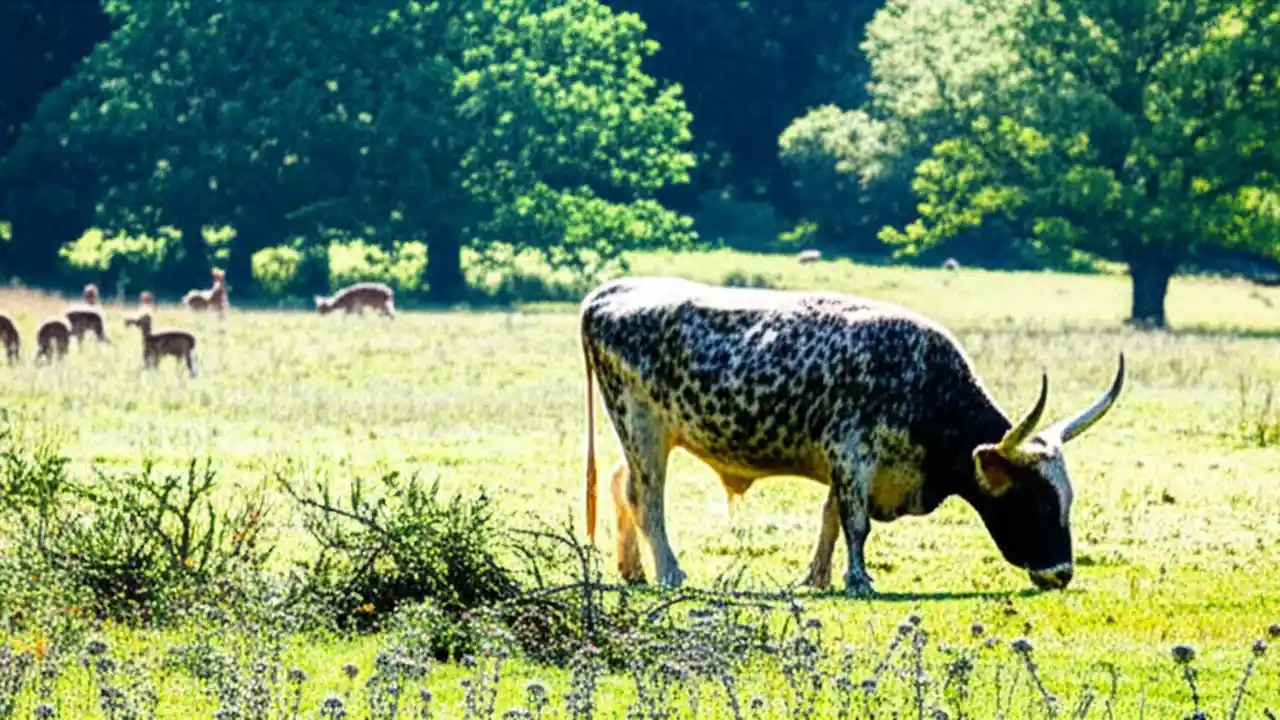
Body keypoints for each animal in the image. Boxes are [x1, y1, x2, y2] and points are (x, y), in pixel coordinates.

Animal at [579, 276, 1124, 596]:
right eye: (1035, 500)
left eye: (1067, 499)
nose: (1061, 573)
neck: (922, 381)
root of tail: (608, 292)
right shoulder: (851, 452)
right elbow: (854, 524)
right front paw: (858, 580)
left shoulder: (846, 465)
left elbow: (830, 519)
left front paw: (816, 578)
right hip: (641, 425)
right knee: (647, 498)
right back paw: (670, 573)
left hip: (650, 433)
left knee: (620, 483)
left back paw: (633, 570)